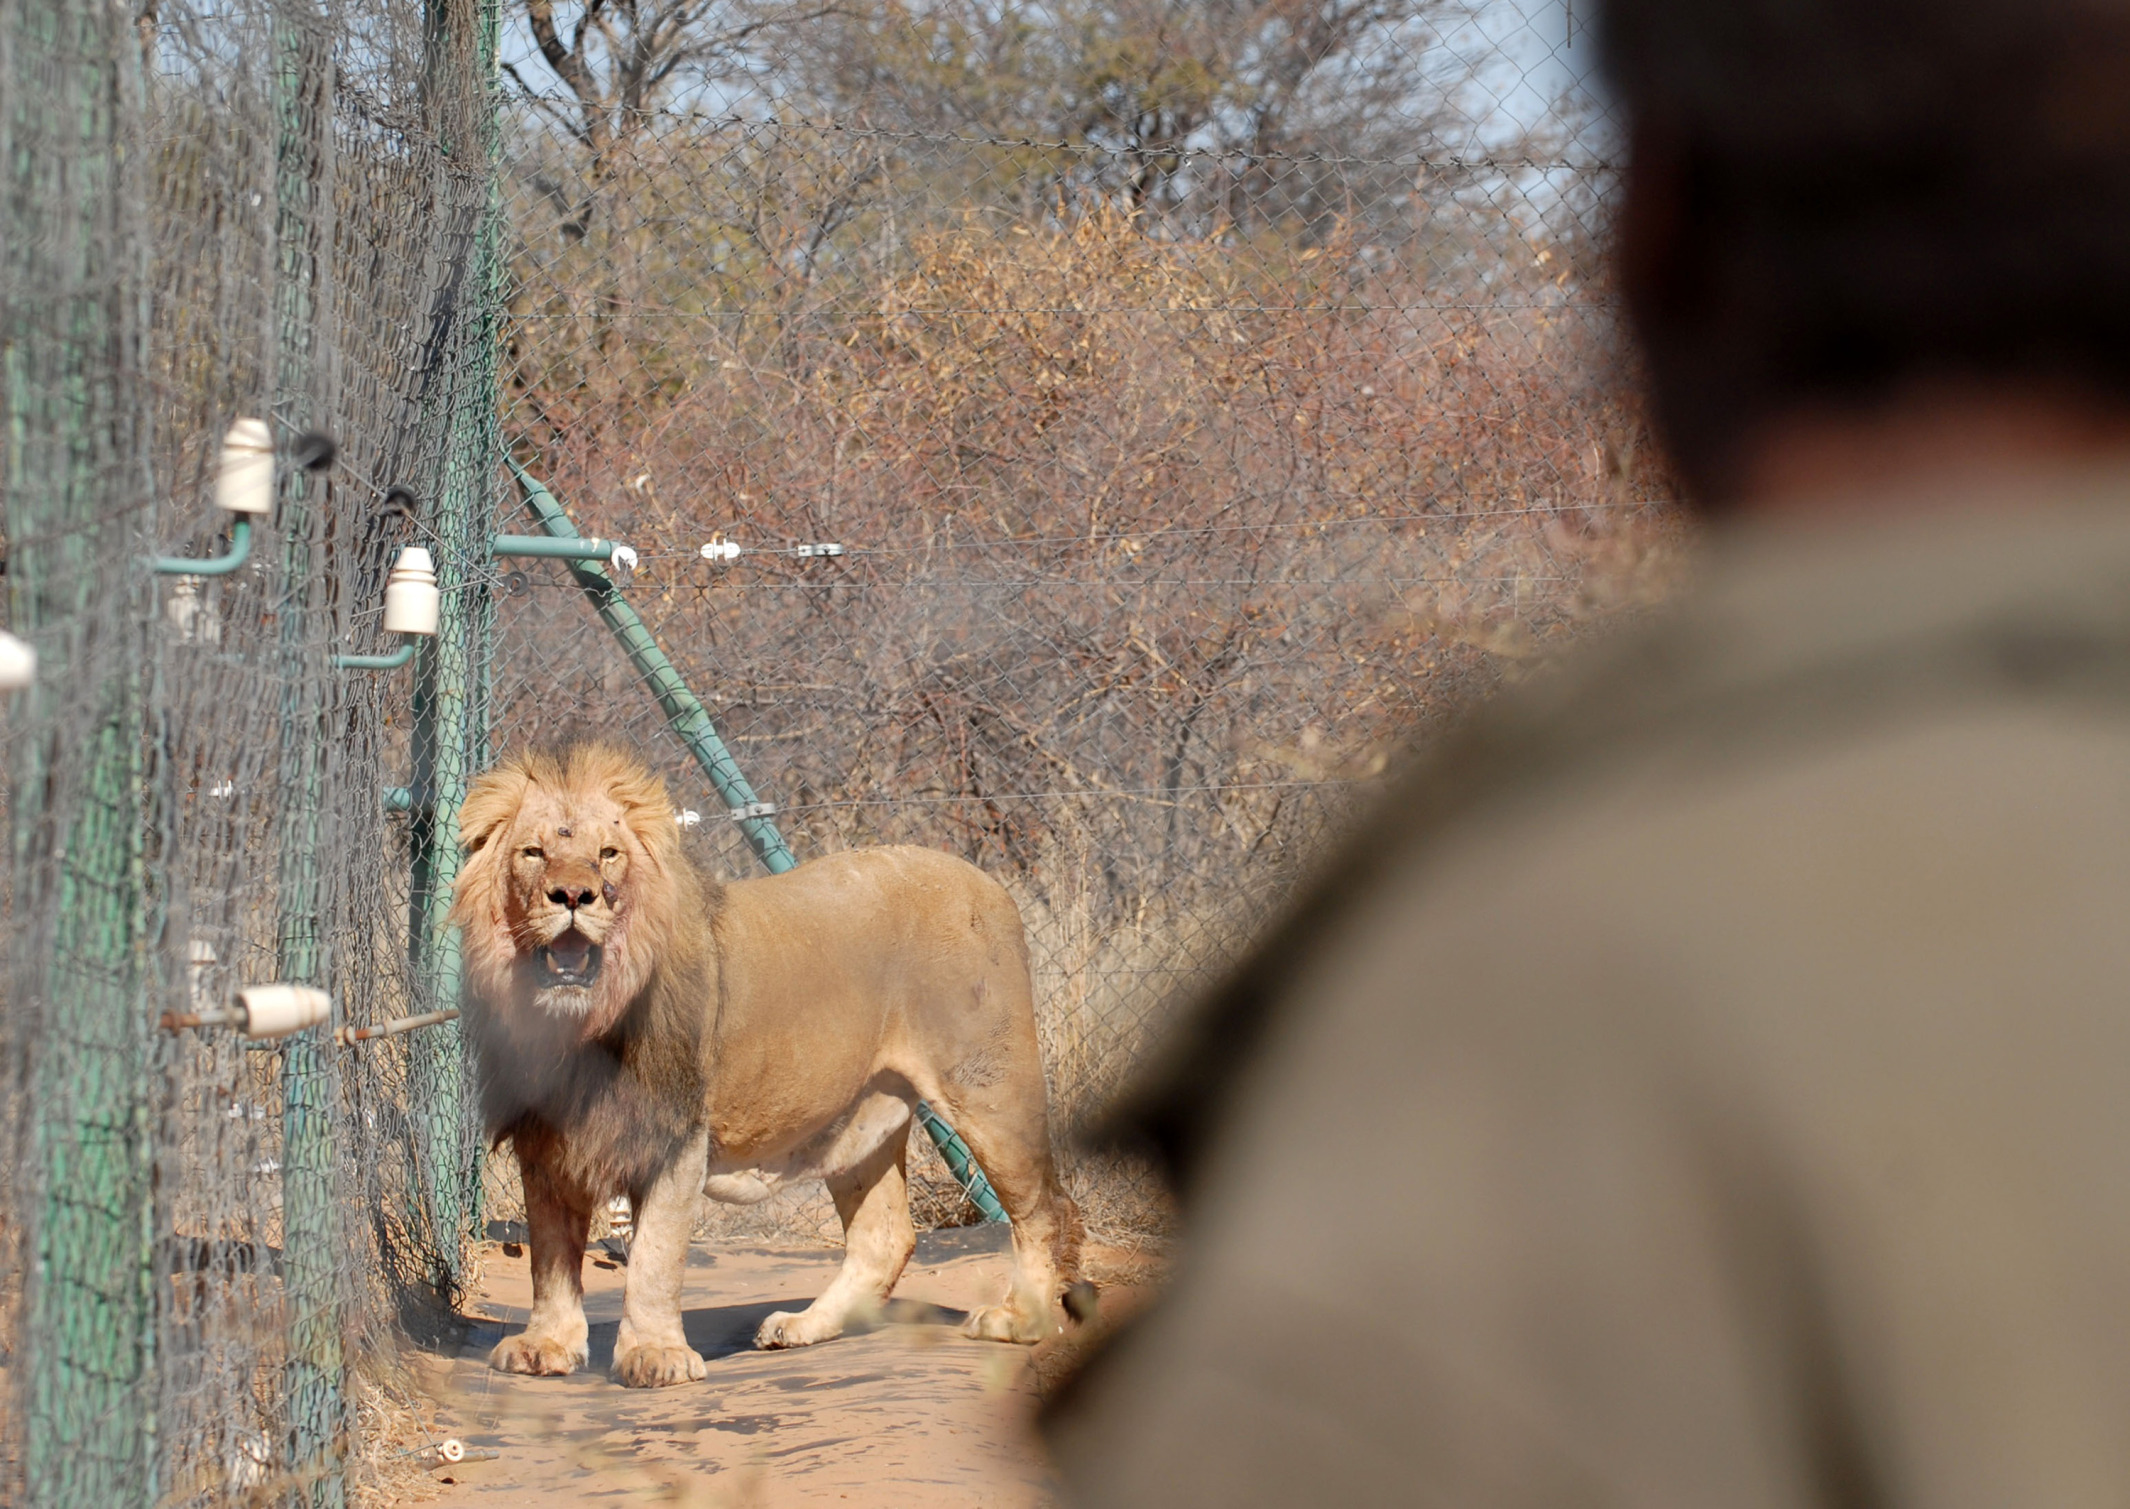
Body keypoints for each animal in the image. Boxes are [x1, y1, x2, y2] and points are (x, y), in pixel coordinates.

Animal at [449, 744, 1087, 1388]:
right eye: (534, 853)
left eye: (608, 854)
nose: (575, 896)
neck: (577, 1025)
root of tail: (988, 883)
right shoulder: (545, 1137)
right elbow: (551, 1252)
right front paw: (546, 1345)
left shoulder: (677, 1133)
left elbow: (654, 1255)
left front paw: (655, 1354)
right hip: (864, 1117)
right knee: (885, 1236)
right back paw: (804, 1325)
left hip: (988, 1087)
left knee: (1045, 1206)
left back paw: (1019, 1320)